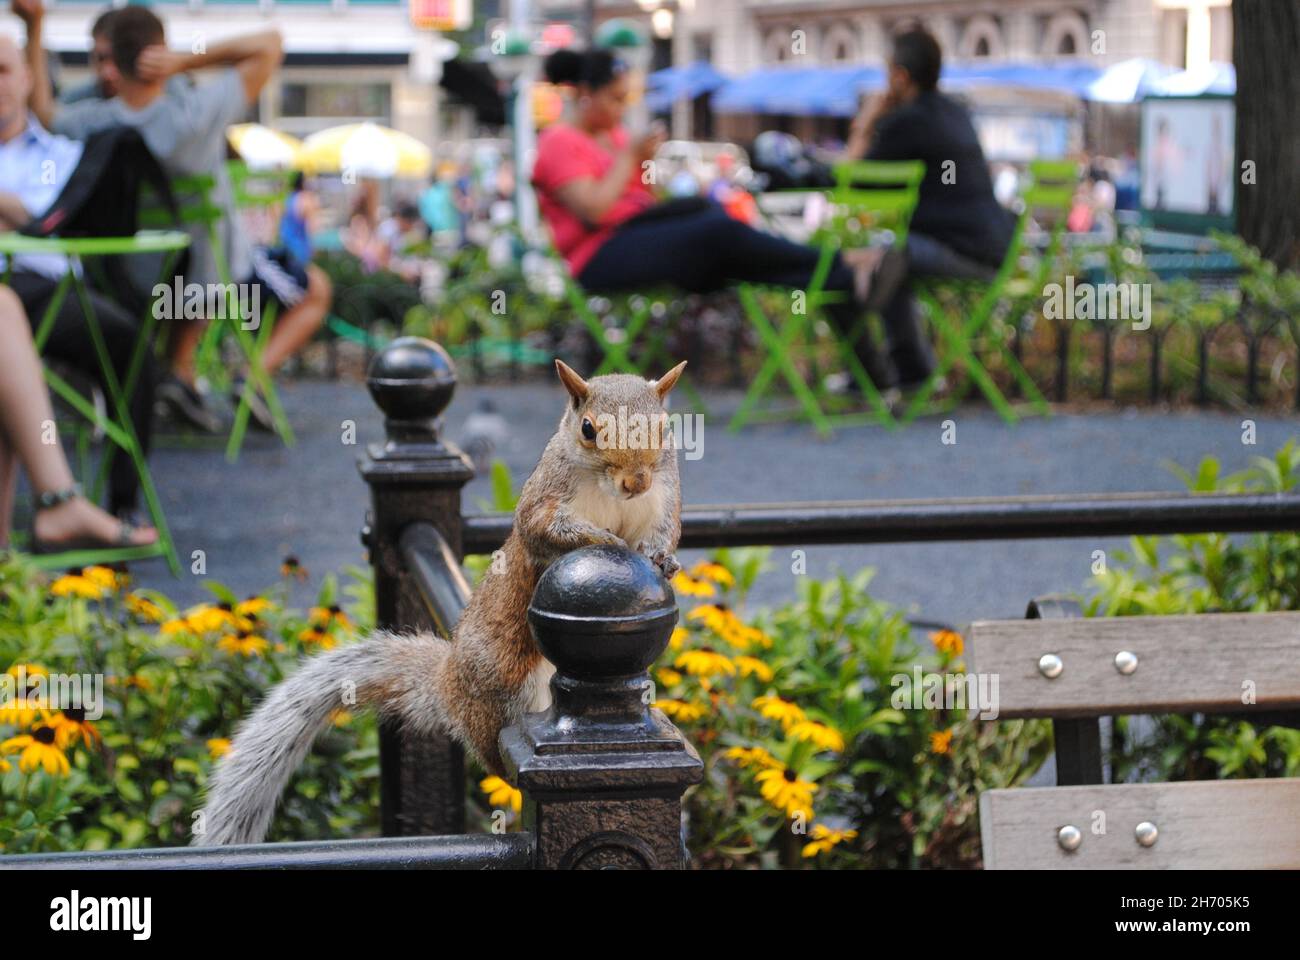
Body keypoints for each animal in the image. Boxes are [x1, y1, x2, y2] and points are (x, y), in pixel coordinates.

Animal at [196, 359, 687, 846]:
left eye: (664, 427)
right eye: (588, 429)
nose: (635, 481)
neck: (611, 494)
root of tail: (449, 682)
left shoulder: (664, 497)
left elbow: (664, 534)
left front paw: (664, 560)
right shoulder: (545, 501)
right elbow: (547, 530)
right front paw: (604, 539)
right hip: (504, 684)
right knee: (495, 756)